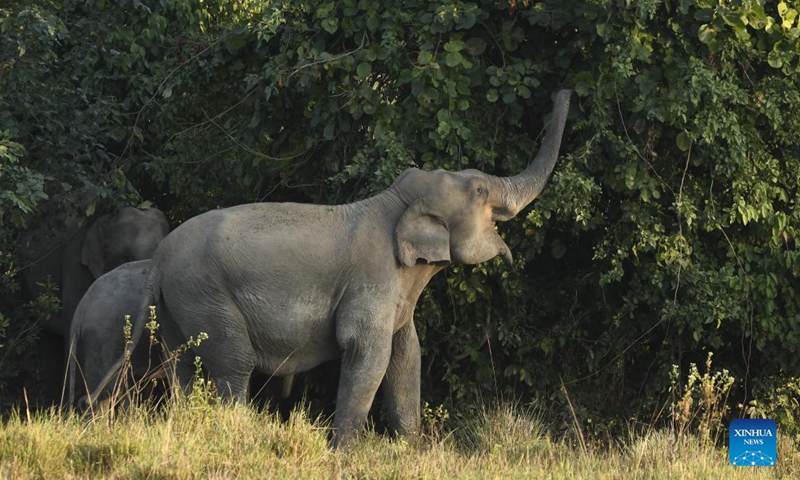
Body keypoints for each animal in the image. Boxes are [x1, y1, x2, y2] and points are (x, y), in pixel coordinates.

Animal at [94, 90, 571, 446]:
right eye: (479, 191)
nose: (562, 91)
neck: (393, 203)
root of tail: (159, 259)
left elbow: (407, 355)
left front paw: (411, 451)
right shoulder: (373, 278)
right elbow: (368, 354)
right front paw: (347, 453)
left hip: (177, 302)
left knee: (183, 367)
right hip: (204, 294)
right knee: (233, 365)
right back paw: (231, 433)